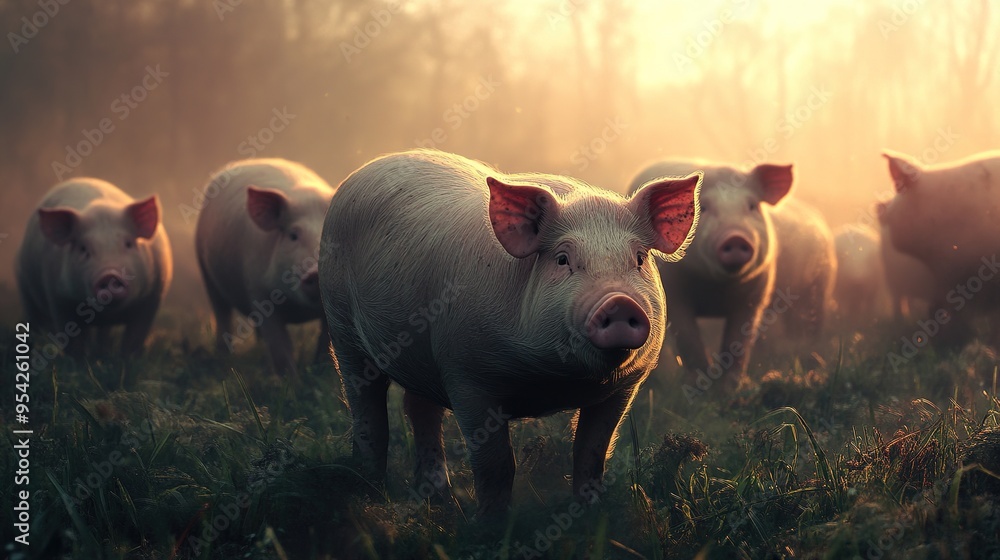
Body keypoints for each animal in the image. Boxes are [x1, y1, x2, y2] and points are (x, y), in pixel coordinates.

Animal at [15, 178, 172, 356]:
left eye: (128, 243)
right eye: (84, 248)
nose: (110, 275)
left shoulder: (152, 299)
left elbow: (133, 341)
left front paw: (126, 359)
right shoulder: (58, 299)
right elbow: (74, 345)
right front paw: (80, 362)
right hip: (25, 289)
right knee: (34, 323)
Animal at [195, 158, 336, 374]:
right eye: (293, 235)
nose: (315, 273)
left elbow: (325, 345)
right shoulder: (259, 293)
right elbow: (281, 349)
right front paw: (290, 381)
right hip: (206, 273)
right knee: (222, 315)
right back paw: (224, 360)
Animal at [319, 149, 700, 515]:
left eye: (638, 259)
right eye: (562, 259)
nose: (620, 302)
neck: (554, 381)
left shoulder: (624, 386)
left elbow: (591, 455)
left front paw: (590, 516)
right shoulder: (467, 376)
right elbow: (497, 464)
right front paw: (490, 524)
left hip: (421, 359)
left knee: (420, 410)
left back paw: (440, 499)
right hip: (342, 327)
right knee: (367, 409)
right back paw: (370, 491)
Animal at [628, 160, 834, 395]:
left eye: (752, 205)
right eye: (704, 207)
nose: (736, 237)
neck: (718, 290)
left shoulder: (756, 293)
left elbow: (738, 342)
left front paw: (730, 389)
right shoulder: (674, 294)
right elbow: (689, 340)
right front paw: (701, 389)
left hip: (819, 288)